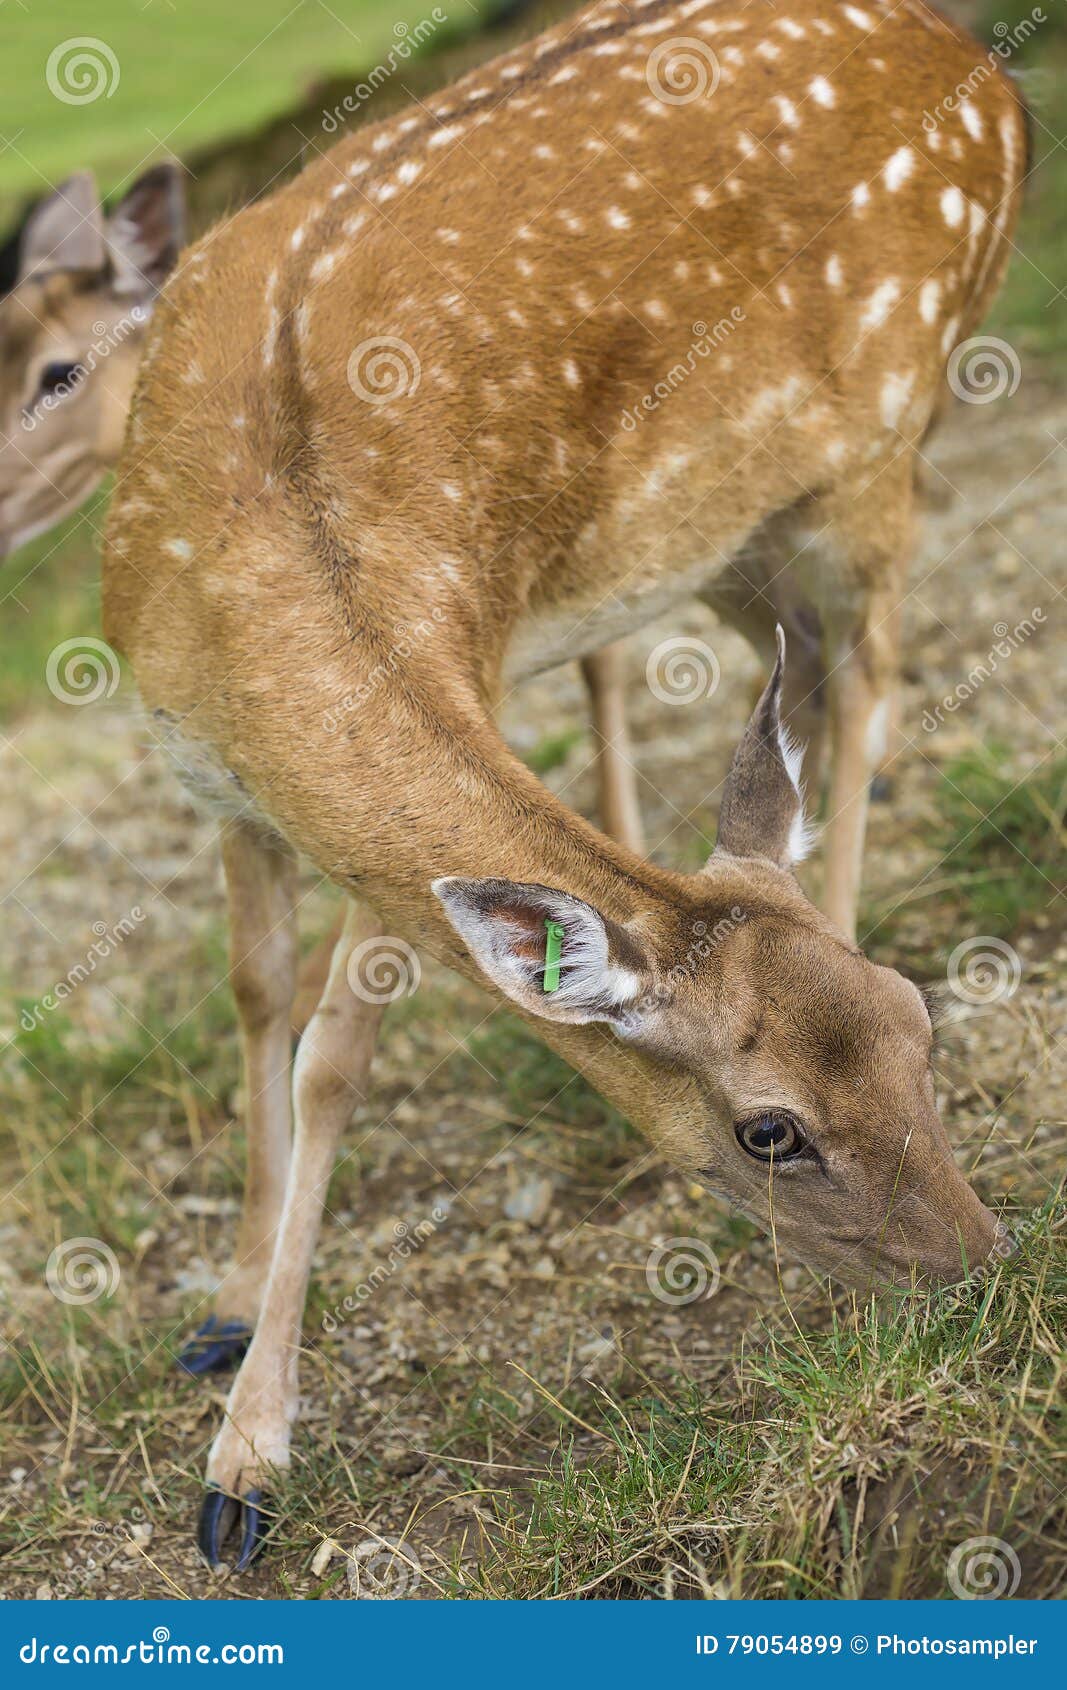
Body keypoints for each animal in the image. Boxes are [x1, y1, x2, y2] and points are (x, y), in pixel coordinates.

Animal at [100, 0, 1026, 1568]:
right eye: (768, 1129)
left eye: (920, 1023)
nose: (983, 1268)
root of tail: (984, 68)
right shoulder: (208, 779)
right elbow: (258, 999)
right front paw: (223, 1334)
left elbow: (334, 1058)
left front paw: (242, 1469)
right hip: (730, 531)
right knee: (811, 678)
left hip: (881, 437)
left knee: (870, 669)